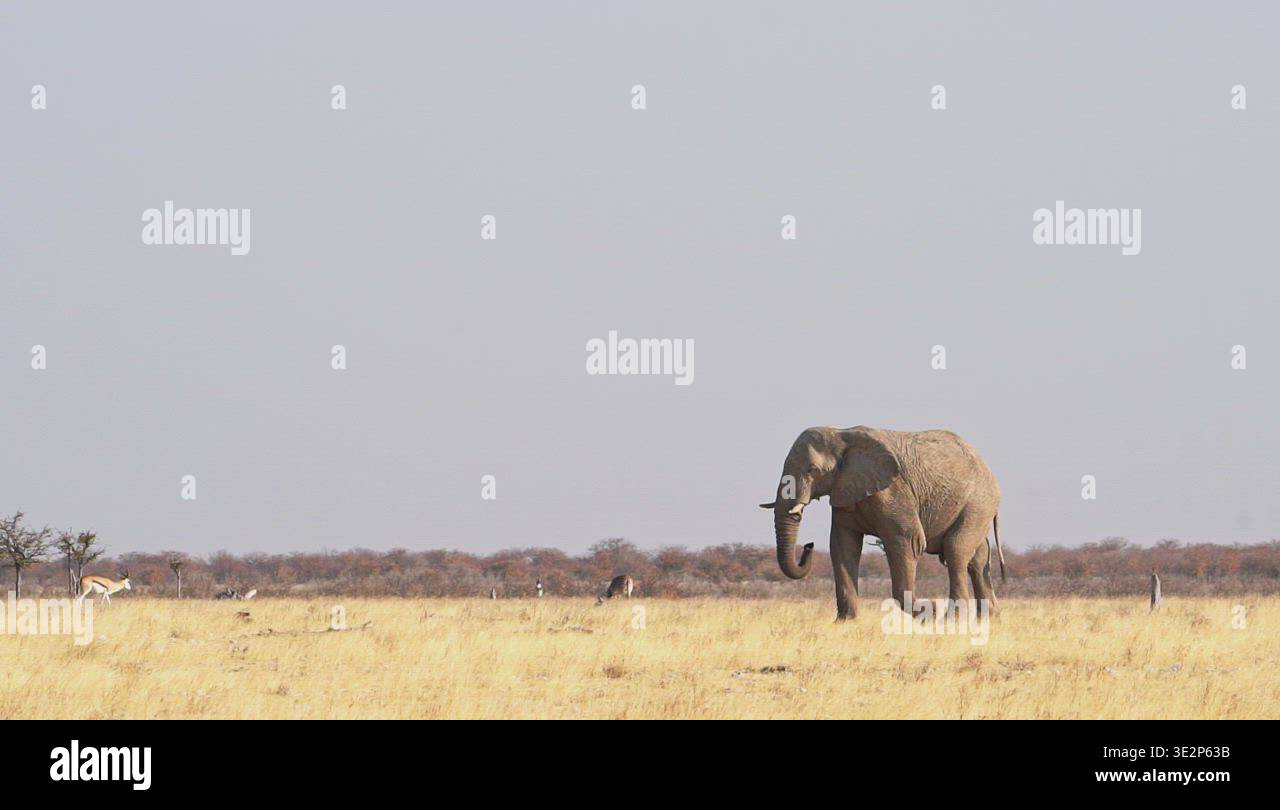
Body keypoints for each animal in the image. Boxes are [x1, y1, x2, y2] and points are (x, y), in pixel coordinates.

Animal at [760, 426, 1005, 620]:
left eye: (813, 470)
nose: (808, 545)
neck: (841, 434)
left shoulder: (893, 491)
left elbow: (907, 542)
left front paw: (930, 612)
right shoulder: (844, 492)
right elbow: (842, 546)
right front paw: (845, 622)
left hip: (978, 502)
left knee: (955, 551)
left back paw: (954, 619)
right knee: (977, 558)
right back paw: (988, 617)